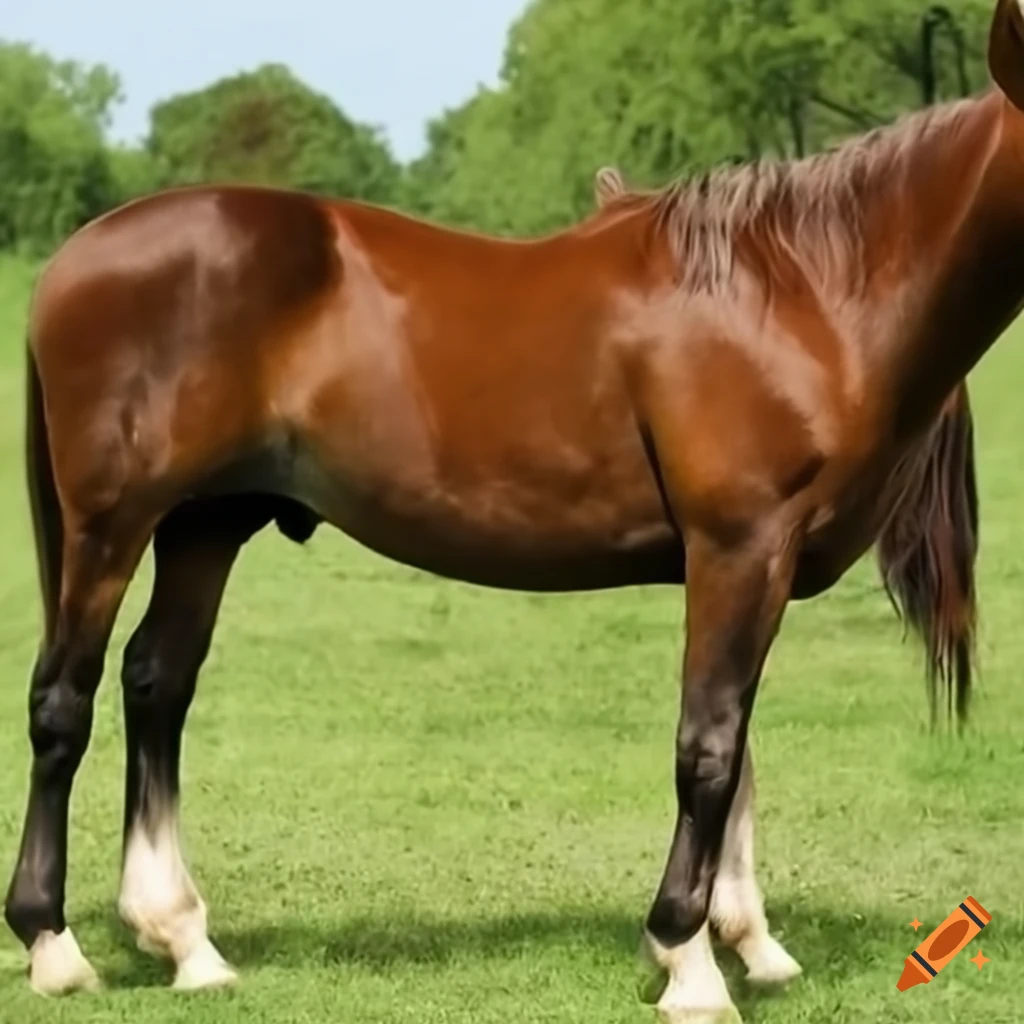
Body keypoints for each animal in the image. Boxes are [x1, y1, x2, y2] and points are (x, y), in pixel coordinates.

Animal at [5, 0, 1021, 1019]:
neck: (796, 293)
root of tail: (72, 261)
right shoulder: (739, 550)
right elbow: (709, 749)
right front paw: (687, 961)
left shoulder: (746, 564)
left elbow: (738, 753)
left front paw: (748, 942)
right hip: (110, 528)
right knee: (64, 701)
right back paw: (55, 945)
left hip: (205, 524)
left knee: (156, 681)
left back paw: (183, 938)